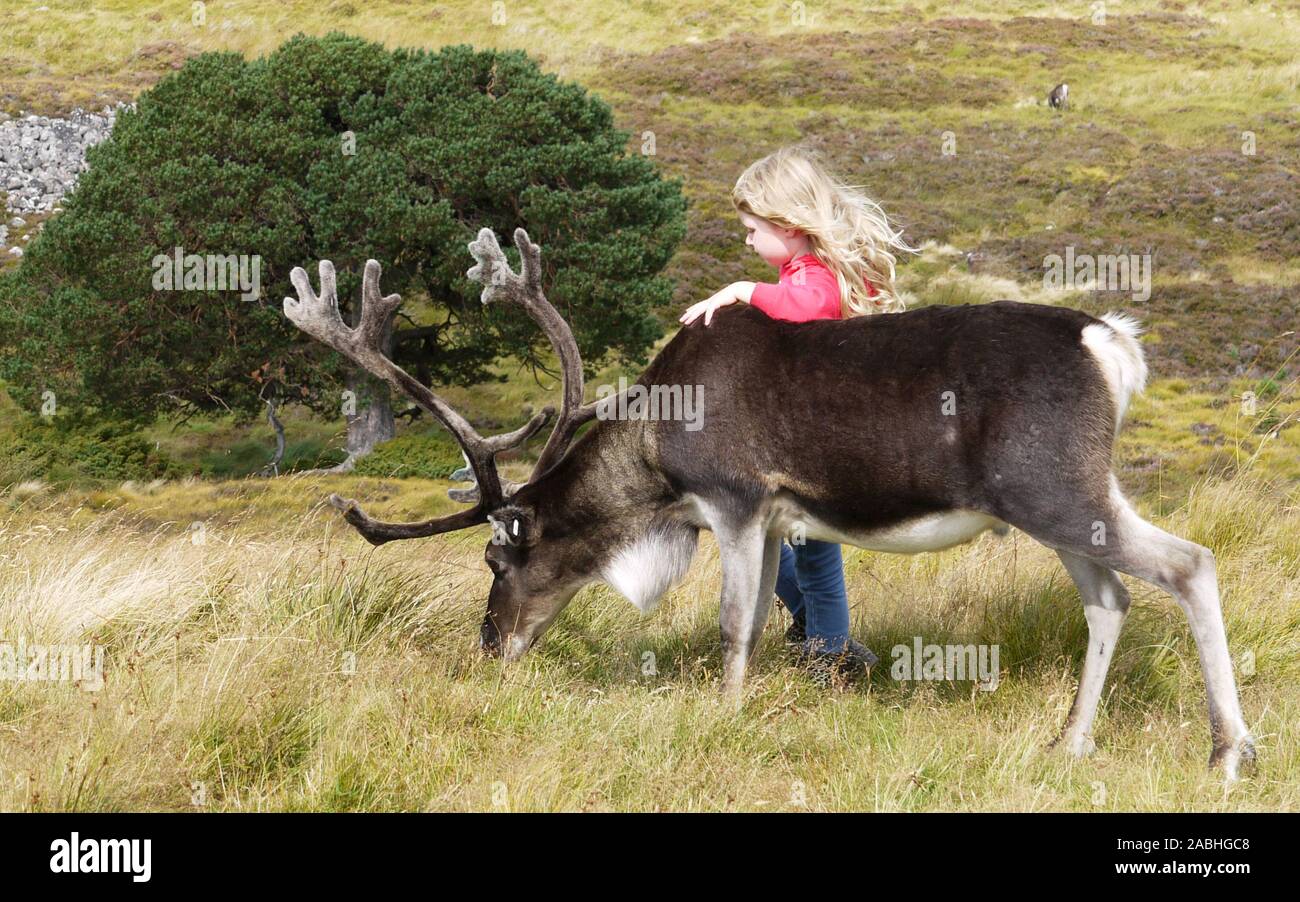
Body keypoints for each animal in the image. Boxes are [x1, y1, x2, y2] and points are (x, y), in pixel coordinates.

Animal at [284, 227, 1256, 781]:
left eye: (499, 554)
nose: (490, 645)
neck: (658, 470)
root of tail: (1114, 346)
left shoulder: (737, 498)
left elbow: (733, 622)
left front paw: (722, 717)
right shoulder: (776, 519)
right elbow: (767, 616)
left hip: (1052, 489)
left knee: (1190, 563)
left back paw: (1227, 750)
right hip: (1068, 500)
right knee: (1111, 598)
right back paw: (1072, 743)